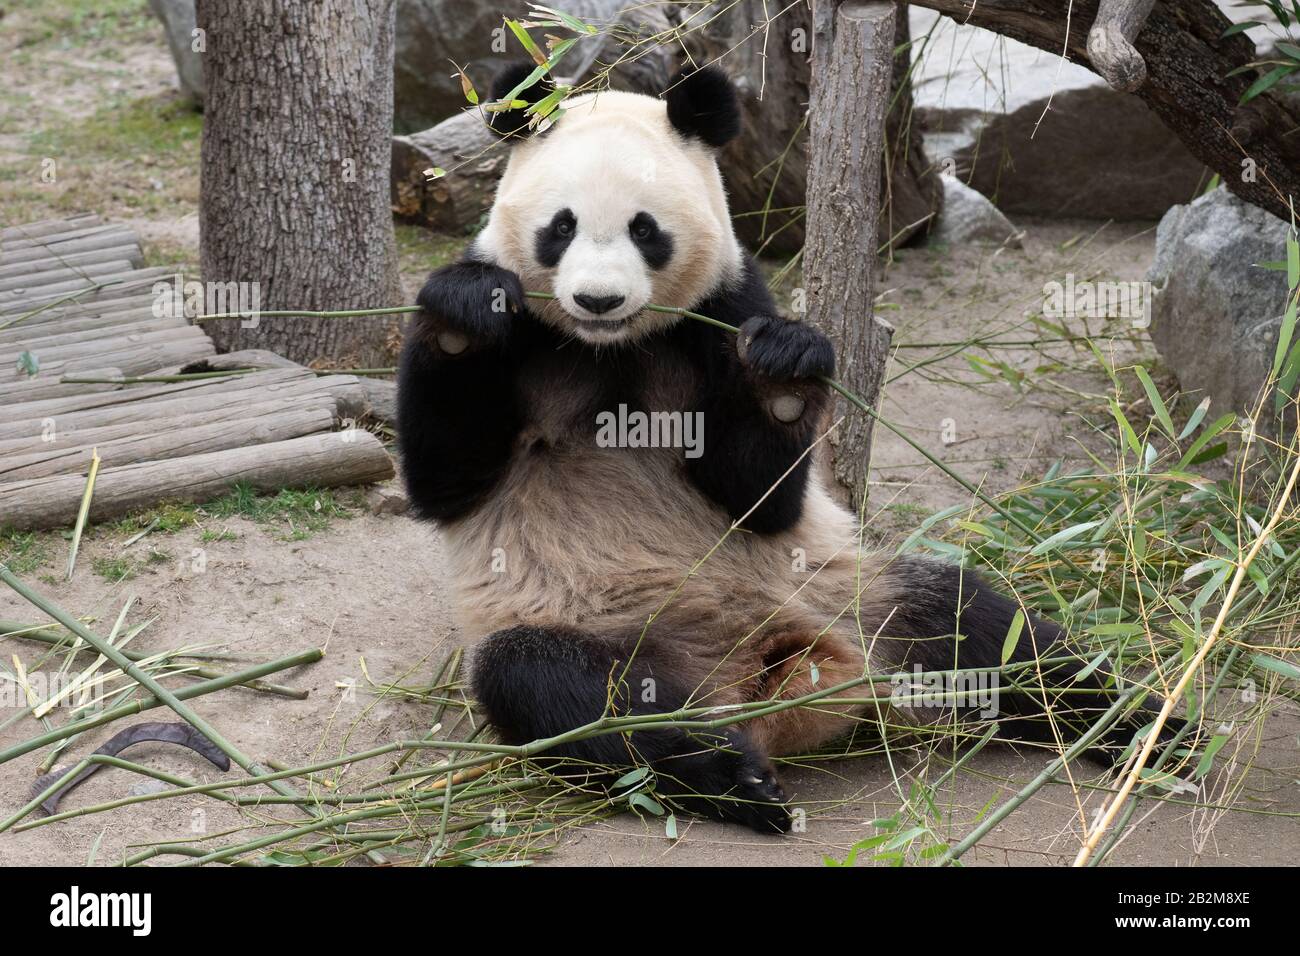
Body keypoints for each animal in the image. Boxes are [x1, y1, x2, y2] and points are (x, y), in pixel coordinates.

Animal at [397, 64, 1173, 832]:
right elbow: (445, 480)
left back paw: (1145, 731)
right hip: (606, 629)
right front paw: (466, 315)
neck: (607, 349)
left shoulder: (726, 307)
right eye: (561, 227)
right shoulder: (521, 339)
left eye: (645, 230)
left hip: (854, 594)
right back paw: (733, 776)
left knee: (986, 628)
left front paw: (785, 367)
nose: (597, 300)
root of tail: (773, 682)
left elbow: (759, 494)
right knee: (563, 692)